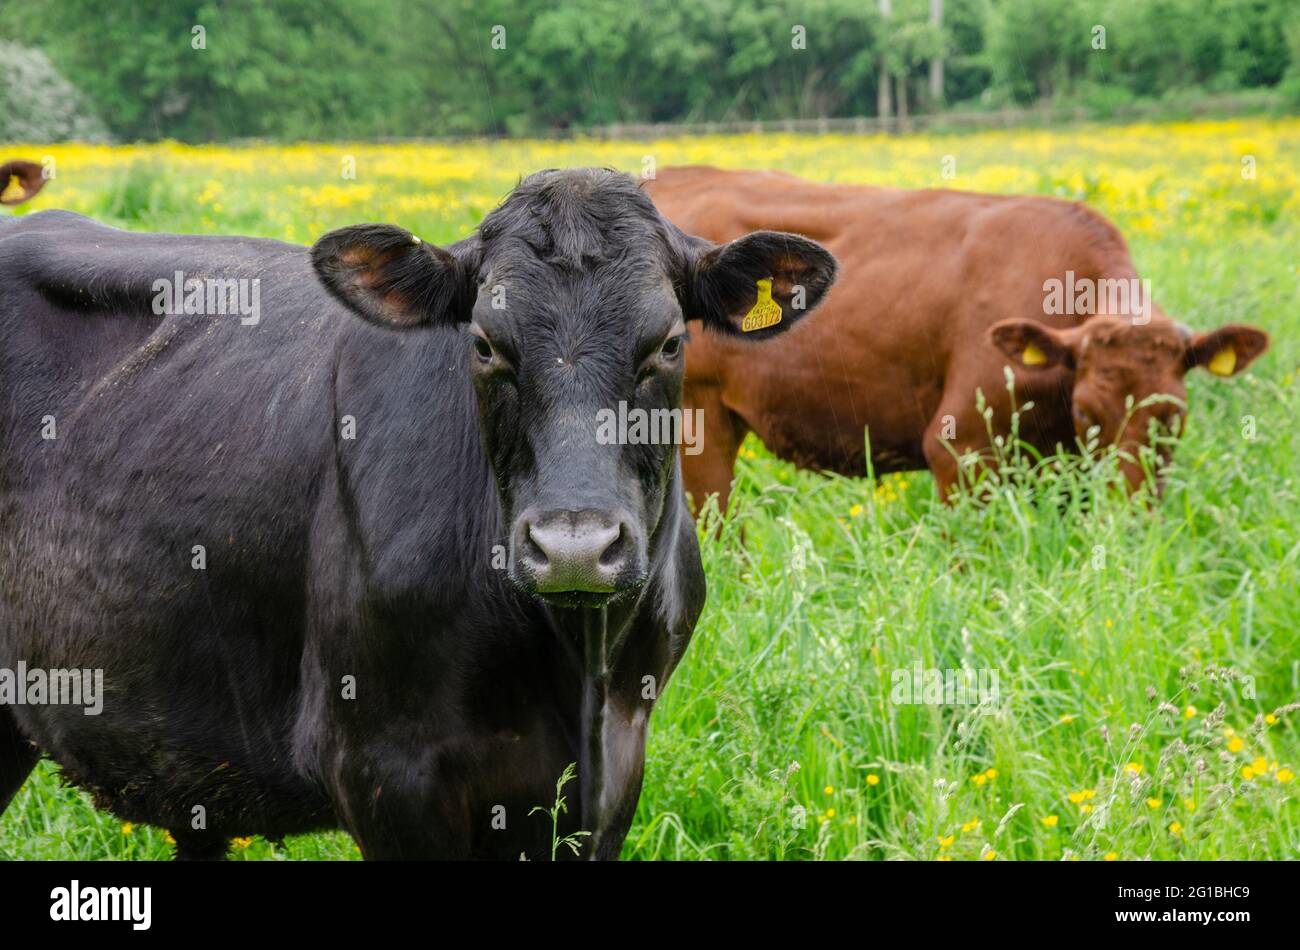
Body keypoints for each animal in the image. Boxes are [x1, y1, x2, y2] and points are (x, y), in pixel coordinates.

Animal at [0, 168, 836, 859]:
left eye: (665, 342)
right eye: (486, 343)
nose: (573, 547)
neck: (575, 669)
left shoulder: (612, 777)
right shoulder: (386, 773)